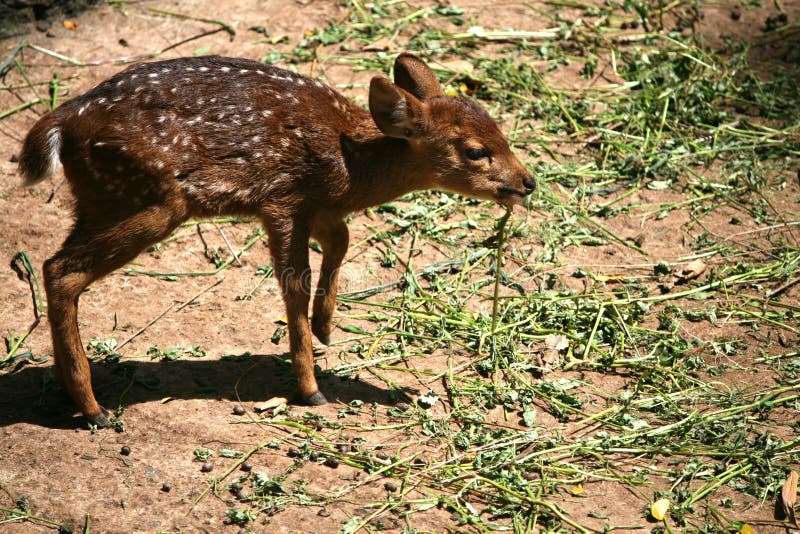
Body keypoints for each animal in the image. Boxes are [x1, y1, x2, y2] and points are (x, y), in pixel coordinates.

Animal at [19, 53, 534, 427]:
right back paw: (95, 409)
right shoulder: (282, 199)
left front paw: (326, 327)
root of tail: (61, 122)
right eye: (476, 151)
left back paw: (71, 391)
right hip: (150, 200)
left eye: (501, 131)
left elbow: (342, 240)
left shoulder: (318, 206)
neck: (350, 166)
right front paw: (310, 388)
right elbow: (294, 284)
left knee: (51, 264)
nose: (527, 182)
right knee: (63, 271)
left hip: (100, 200)